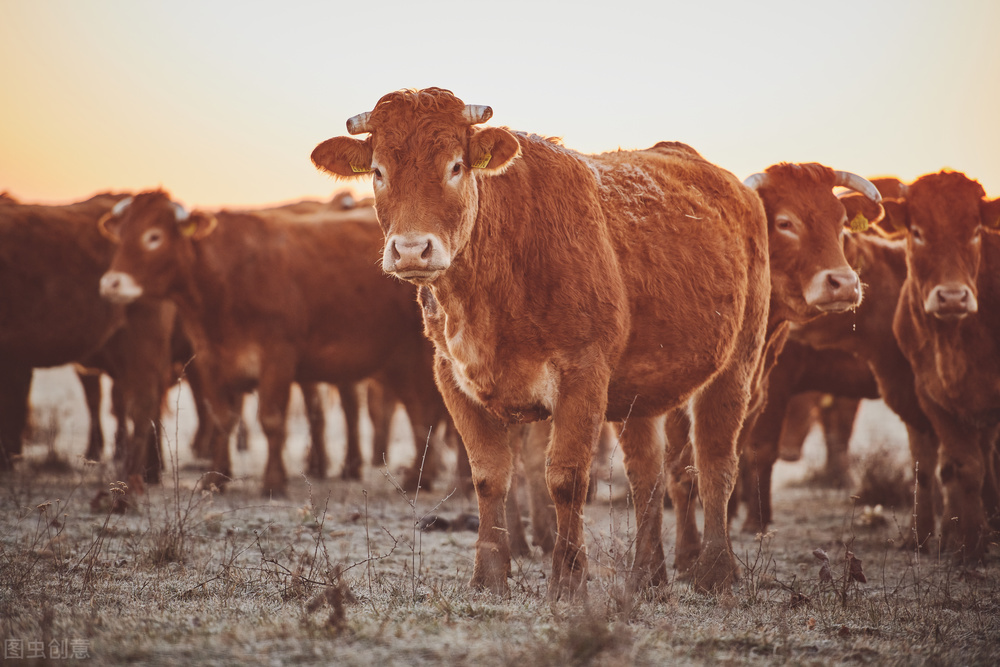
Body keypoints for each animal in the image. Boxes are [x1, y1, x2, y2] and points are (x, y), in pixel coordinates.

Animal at [97, 190, 448, 497]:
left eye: (153, 236)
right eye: (120, 235)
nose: (112, 283)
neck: (227, 278)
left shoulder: (277, 358)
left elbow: (271, 420)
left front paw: (273, 481)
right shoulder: (210, 360)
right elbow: (223, 418)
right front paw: (216, 478)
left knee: (426, 414)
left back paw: (419, 478)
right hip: (398, 362)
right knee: (420, 414)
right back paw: (419, 477)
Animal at [312, 87, 772, 597]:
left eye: (456, 166)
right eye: (378, 171)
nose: (412, 249)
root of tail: (736, 187)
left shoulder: (583, 374)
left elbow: (566, 479)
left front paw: (568, 581)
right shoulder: (451, 376)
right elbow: (489, 476)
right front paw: (489, 575)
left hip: (737, 363)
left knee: (715, 462)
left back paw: (715, 570)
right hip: (641, 389)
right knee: (645, 472)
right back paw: (646, 576)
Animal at [664, 162, 878, 573]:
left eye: (841, 220)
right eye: (784, 222)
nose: (844, 283)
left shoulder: (752, 399)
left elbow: (728, 466)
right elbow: (682, 472)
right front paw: (687, 554)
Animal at [887, 170, 1000, 562]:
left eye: (975, 230)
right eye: (917, 231)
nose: (952, 297)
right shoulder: (931, 396)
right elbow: (966, 466)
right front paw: (971, 543)